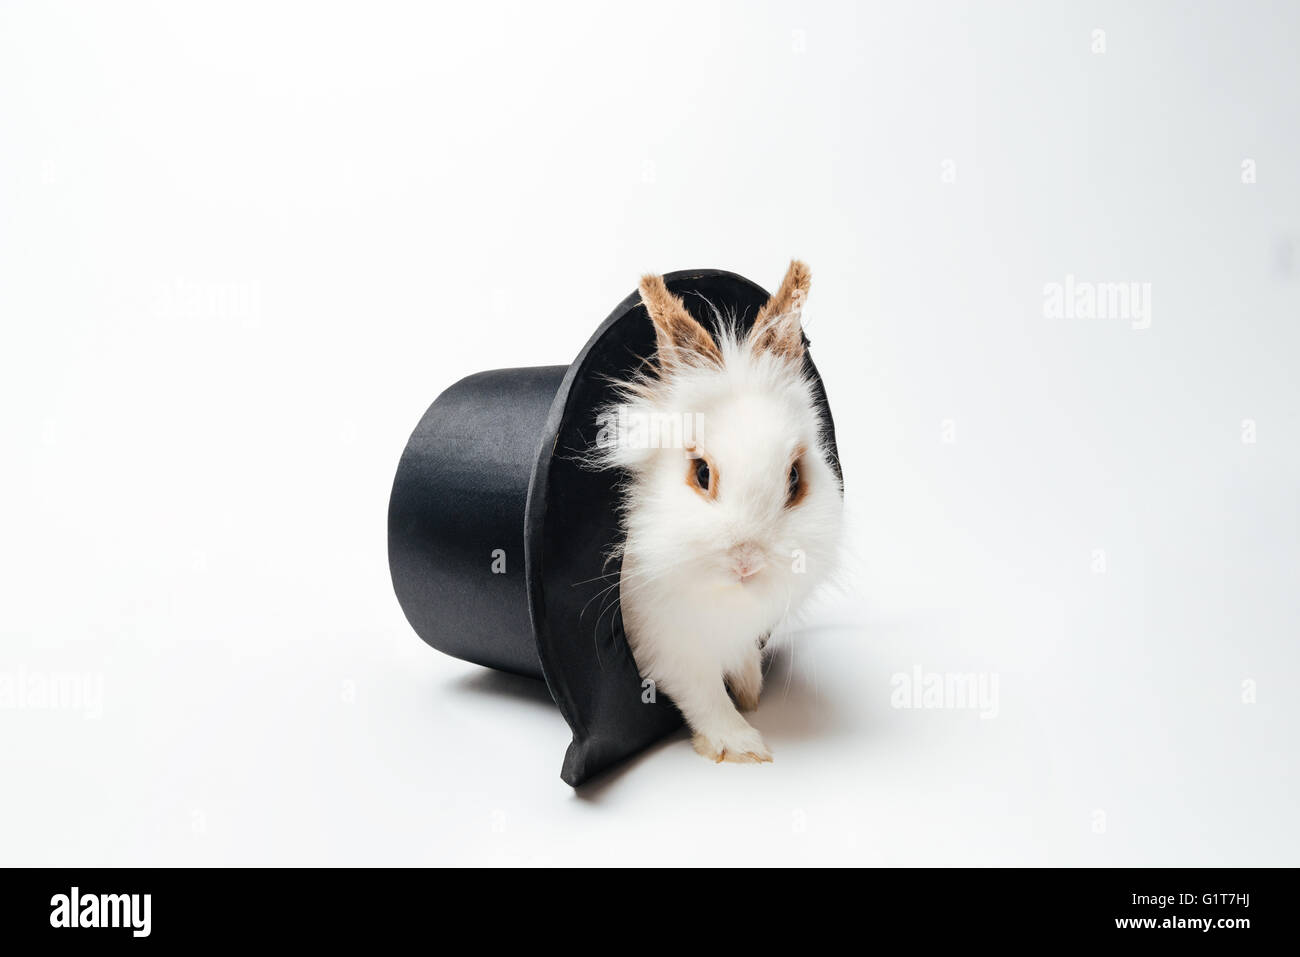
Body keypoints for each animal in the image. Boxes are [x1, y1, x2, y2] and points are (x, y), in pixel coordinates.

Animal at [591, 261, 843, 763]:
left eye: (795, 479)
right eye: (702, 472)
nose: (746, 560)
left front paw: (750, 691)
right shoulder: (667, 646)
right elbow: (703, 695)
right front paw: (742, 744)